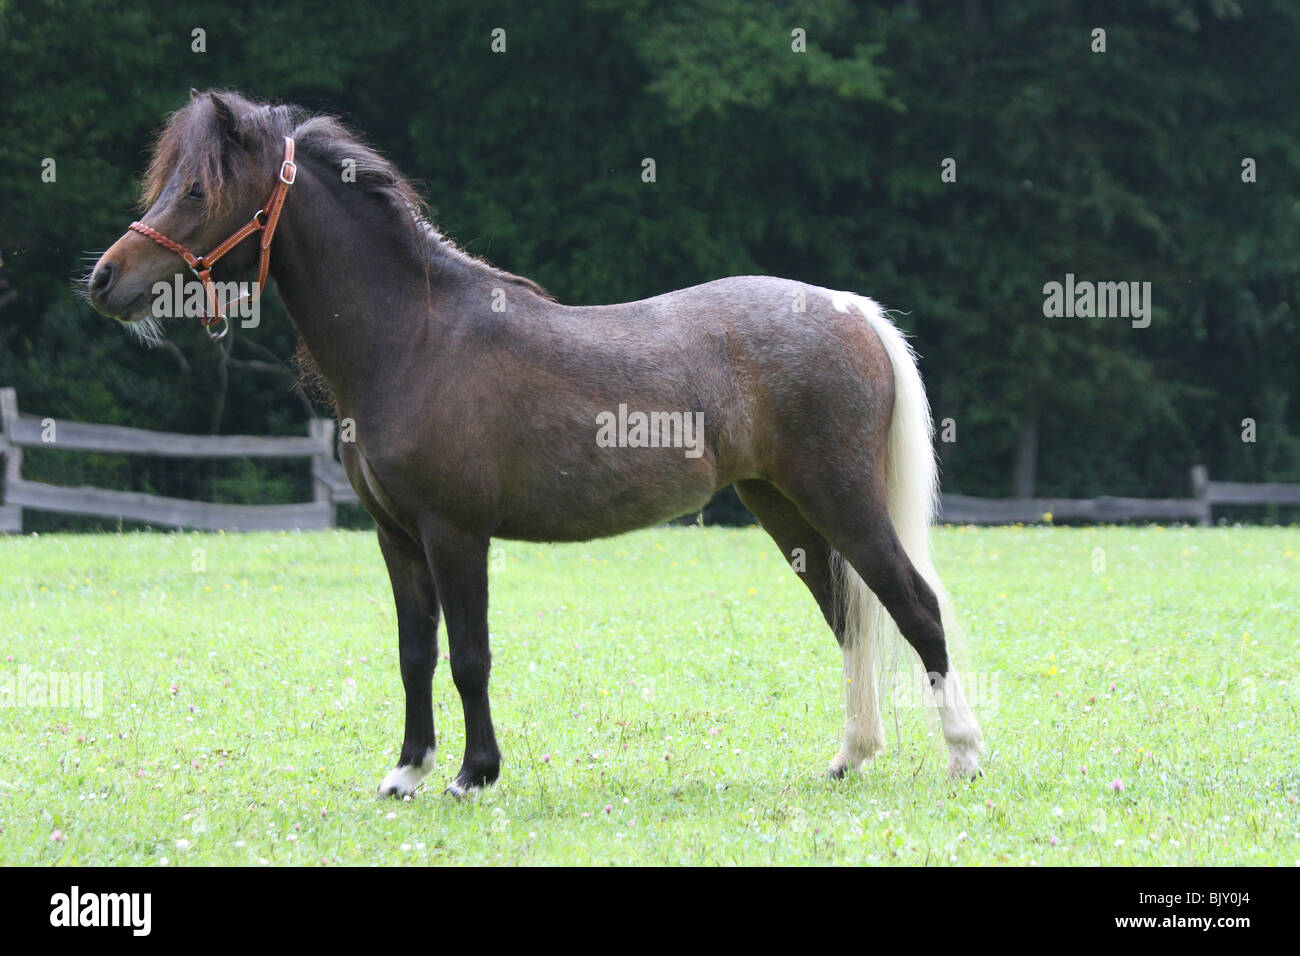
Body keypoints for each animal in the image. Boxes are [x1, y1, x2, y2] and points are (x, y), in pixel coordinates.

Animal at [88, 90, 985, 797]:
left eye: (197, 189)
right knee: (849, 617)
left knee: (915, 607)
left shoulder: (455, 533)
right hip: (786, 510)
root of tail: (848, 308)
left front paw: (472, 774)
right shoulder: (396, 538)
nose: (105, 280)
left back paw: (964, 756)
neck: (413, 339)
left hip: (840, 497)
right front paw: (408, 771)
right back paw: (850, 757)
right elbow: (414, 653)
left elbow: (468, 655)